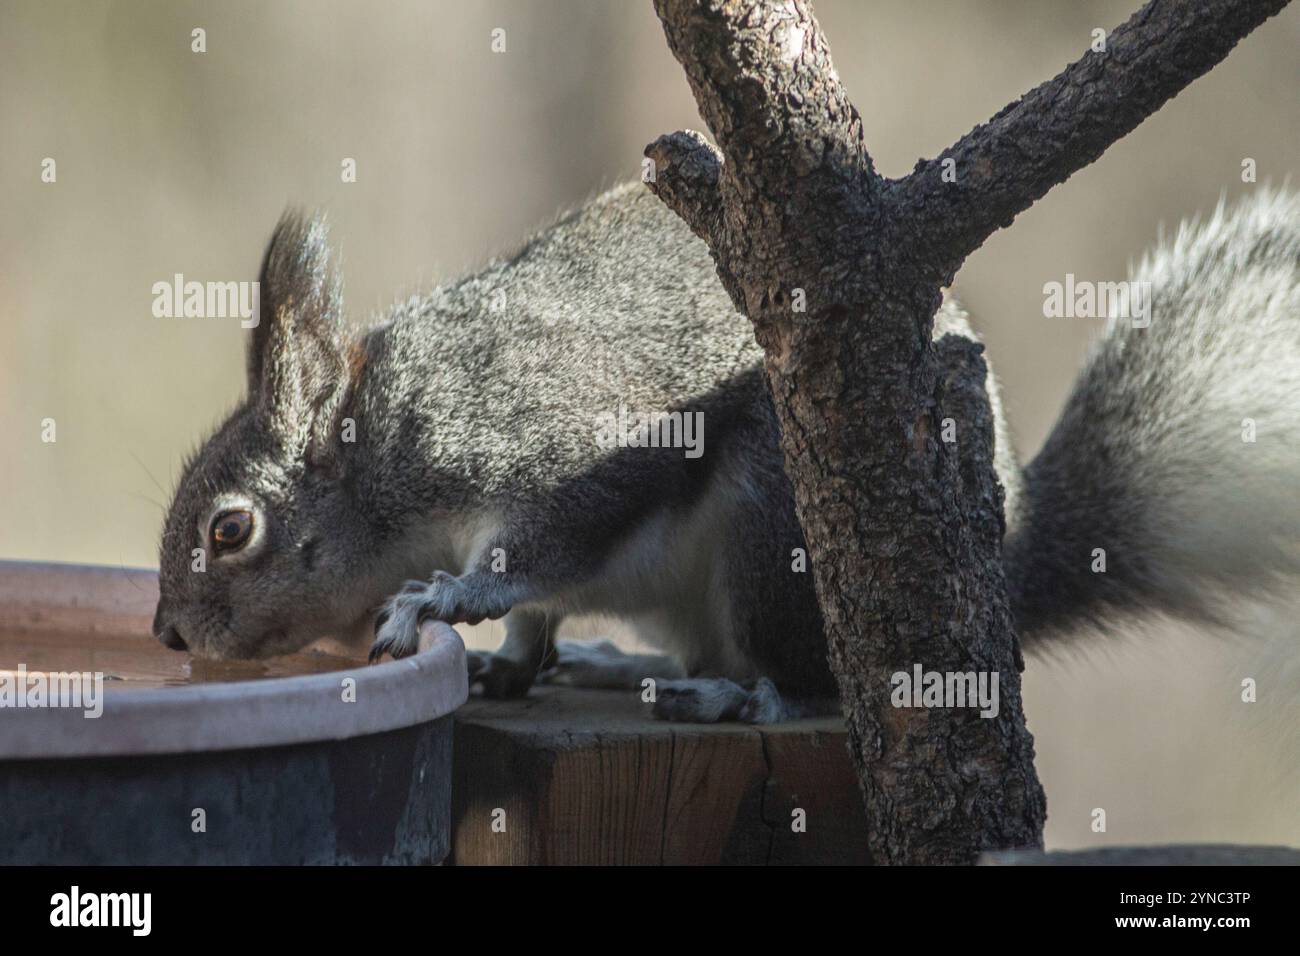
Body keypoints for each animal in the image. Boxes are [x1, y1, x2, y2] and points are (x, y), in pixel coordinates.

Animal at [153, 183, 1300, 723]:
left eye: (232, 528)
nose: (167, 633)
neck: (386, 444)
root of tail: (1007, 573)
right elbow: (536, 612)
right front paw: (511, 664)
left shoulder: (553, 434)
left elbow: (538, 548)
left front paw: (444, 600)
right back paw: (630, 665)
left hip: (778, 535)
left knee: (808, 687)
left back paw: (737, 697)